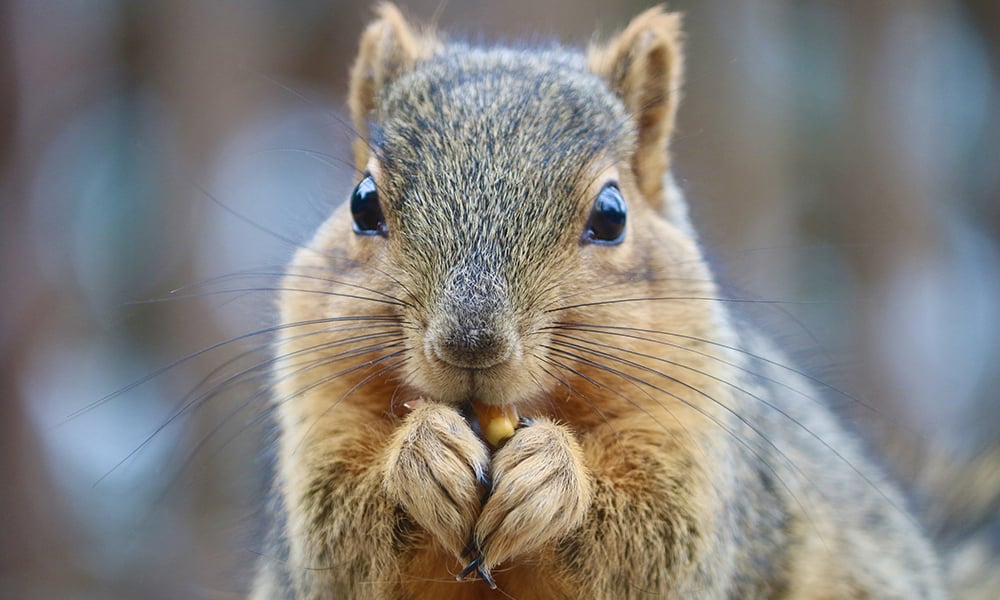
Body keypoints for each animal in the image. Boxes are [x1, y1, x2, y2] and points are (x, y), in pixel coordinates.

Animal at [251, 4, 949, 598]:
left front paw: (552, 478)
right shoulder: (317, 404)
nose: (470, 343)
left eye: (612, 216)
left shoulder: (699, 434)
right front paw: (424, 454)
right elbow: (335, 540)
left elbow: (657, 545)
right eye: (362, 204)